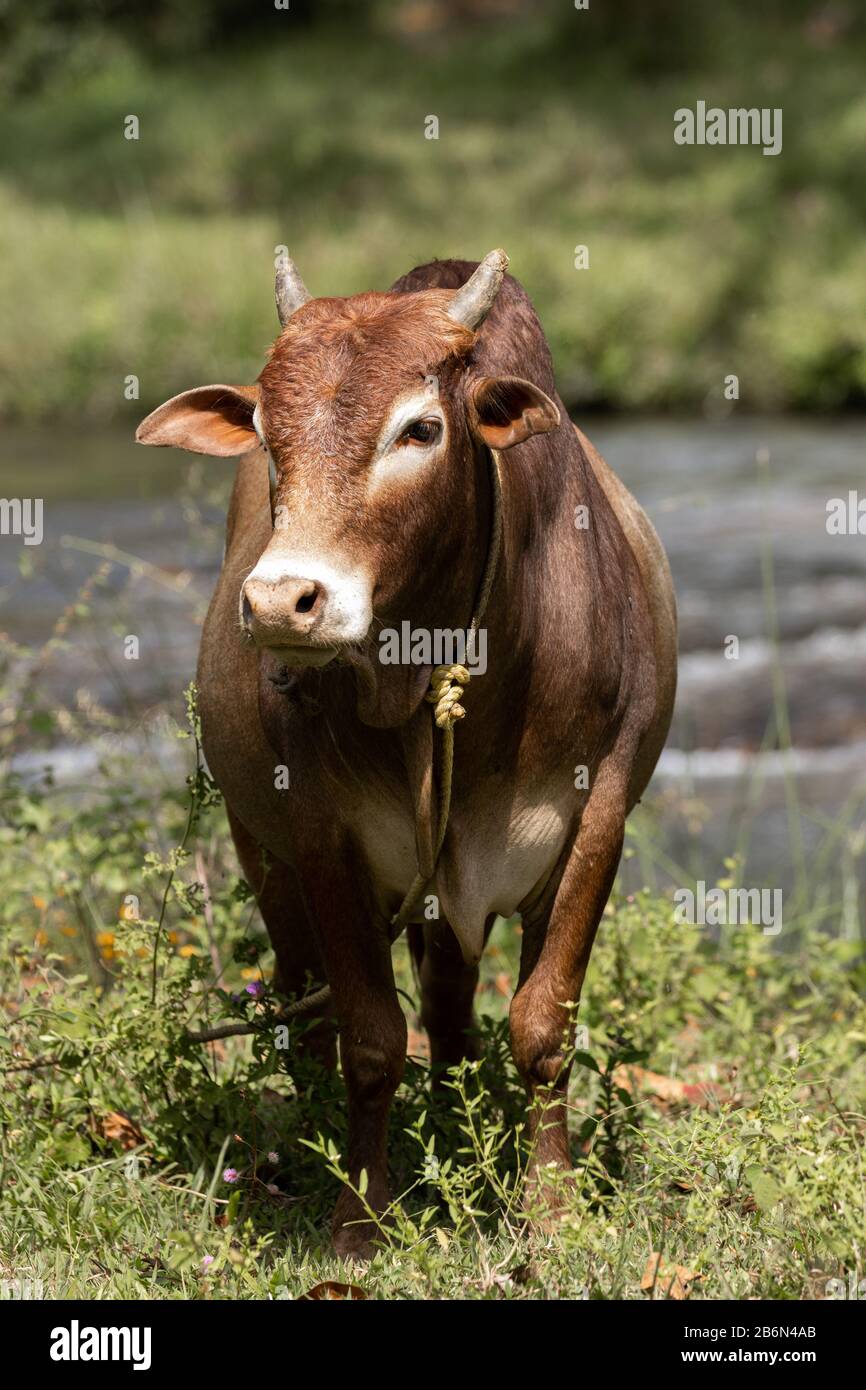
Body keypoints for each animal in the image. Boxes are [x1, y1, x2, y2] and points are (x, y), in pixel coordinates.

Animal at [137, 250, 677, 1257]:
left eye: (421, 429)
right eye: (264, 431)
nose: (282, 602)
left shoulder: (599, 819)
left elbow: (542, 1026)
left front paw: (550, 1210)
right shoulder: (319, 838)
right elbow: (370, 1037)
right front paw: (358, 1216)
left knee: (453, 1013)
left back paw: (464, 1137)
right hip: (259, 849)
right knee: (309, 1012)